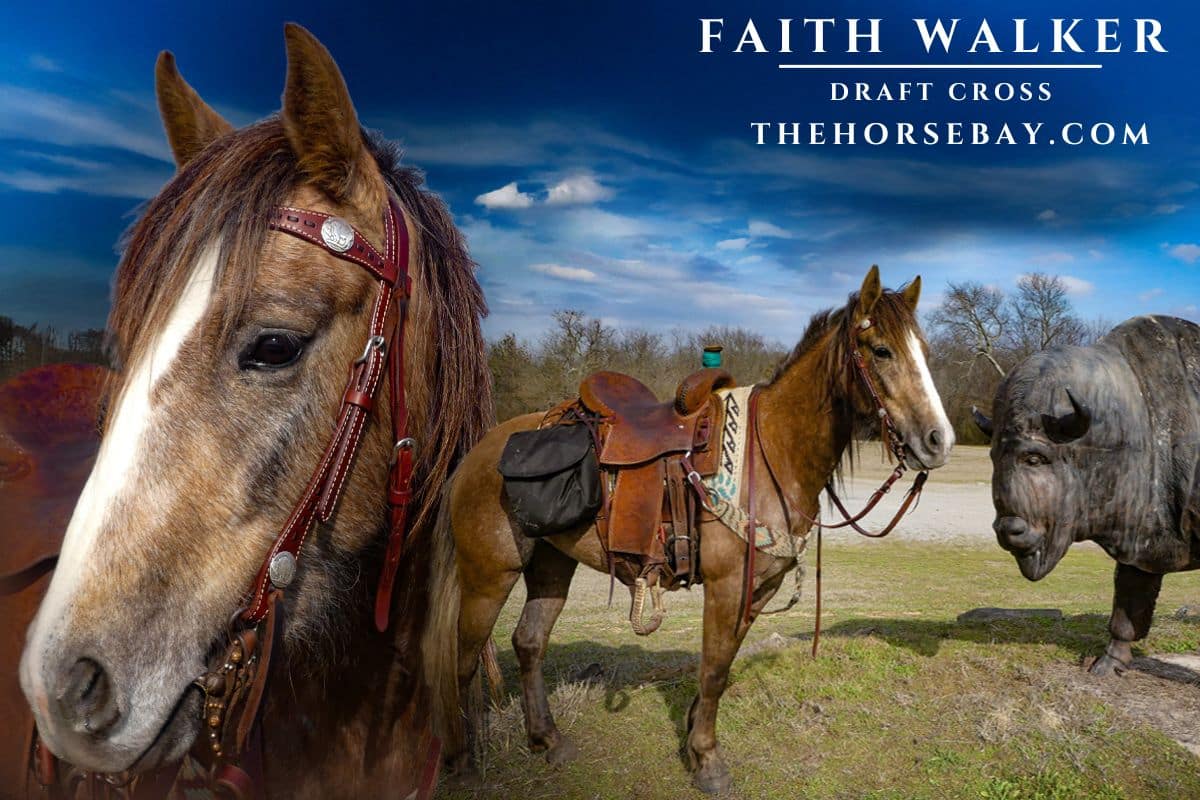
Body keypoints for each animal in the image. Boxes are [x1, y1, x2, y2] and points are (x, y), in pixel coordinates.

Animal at [423, 266, 955, 794]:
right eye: (881, 350)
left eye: (926, 352)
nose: (939, 441)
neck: (770, 452)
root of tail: (477, 451)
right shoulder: (726, 586)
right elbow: (716, 669)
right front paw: (709, 762)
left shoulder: (759, 587)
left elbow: (720, 664)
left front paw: (695, 739)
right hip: (489, 574)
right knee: (462, 659)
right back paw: (463, 763)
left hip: (552, 563)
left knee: (529, 643)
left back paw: (548, 741)